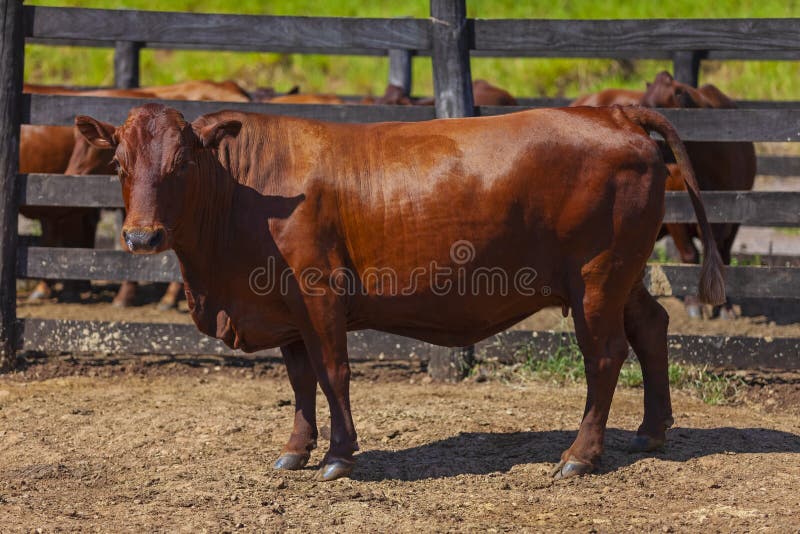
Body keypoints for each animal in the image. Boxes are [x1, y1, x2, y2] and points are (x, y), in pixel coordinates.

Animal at [75, 103, 724, 481]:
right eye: (119, 165)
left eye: (182, 161)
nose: (141, 235)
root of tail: (615, 114)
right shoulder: (281, 307)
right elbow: (301, 382)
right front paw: (296, 449)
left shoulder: (319, 293)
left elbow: (333, 372)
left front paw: (339, 455)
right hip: (623, 276)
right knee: (652, 329)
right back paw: (652, 432)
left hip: (595, 279)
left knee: (605, 356)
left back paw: (580, 455)